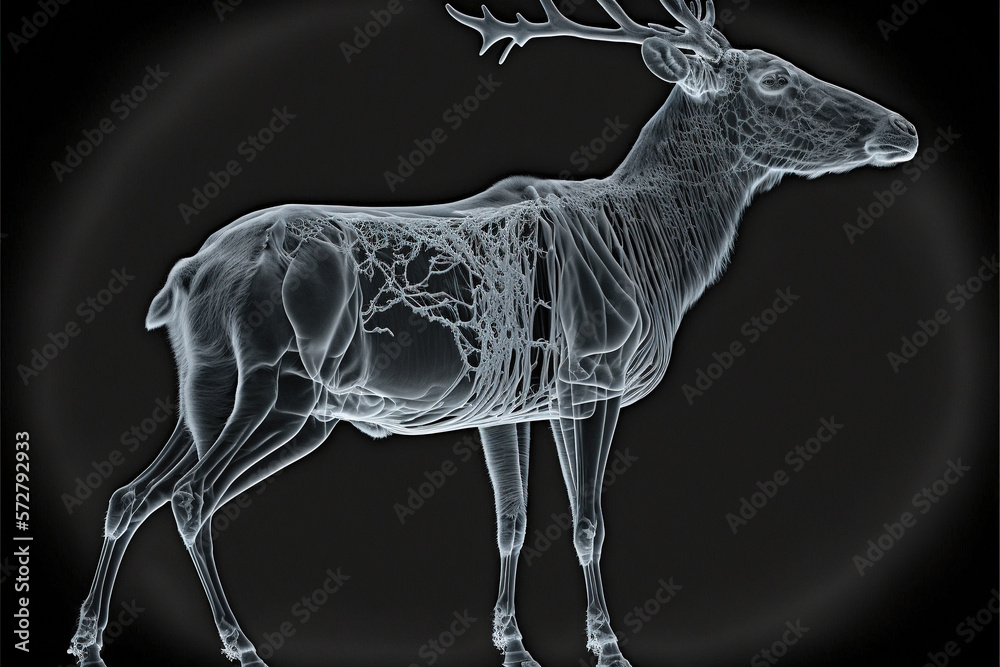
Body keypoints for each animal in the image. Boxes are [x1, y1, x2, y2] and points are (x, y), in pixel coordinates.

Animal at [68, 1, 919, 666]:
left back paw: (87, 638)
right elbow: (588, 522)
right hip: (282, 385)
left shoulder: (507, 401)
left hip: (208, 385)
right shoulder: (592, 374)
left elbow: (513, 520)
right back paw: (240, 644)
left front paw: (513, 642)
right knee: (191, 496)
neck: (648, 250)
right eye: (773, 75)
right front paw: (607, 644)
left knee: (130, 492)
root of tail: (186, 275)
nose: (904, 128)